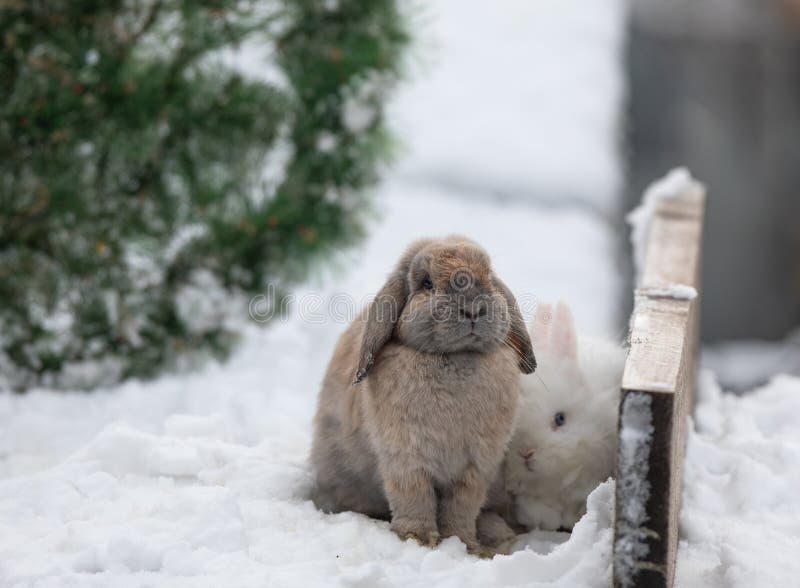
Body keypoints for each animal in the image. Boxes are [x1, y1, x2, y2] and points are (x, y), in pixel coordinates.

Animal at [310, 236, 536, 554]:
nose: (473, 309)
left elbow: (462, 506)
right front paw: (418, 539)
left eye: (489, 276)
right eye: (427, 283)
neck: (455, 357)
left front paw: (463, 544)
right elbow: (414, 498)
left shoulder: (475, 468)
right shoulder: (405, 461)